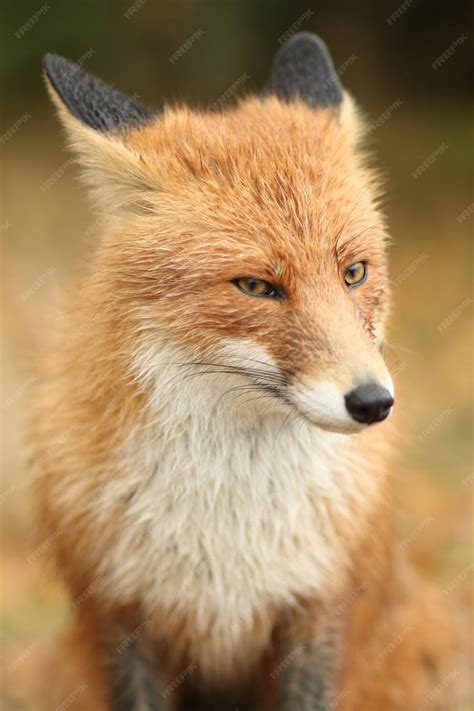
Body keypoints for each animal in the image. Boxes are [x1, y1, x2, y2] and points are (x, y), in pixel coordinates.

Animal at [30, 32, 469, 711]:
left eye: (354, 272)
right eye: (257, 287)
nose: (373, 402)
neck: (232, 531)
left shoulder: (319, 608)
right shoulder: (122, 614)